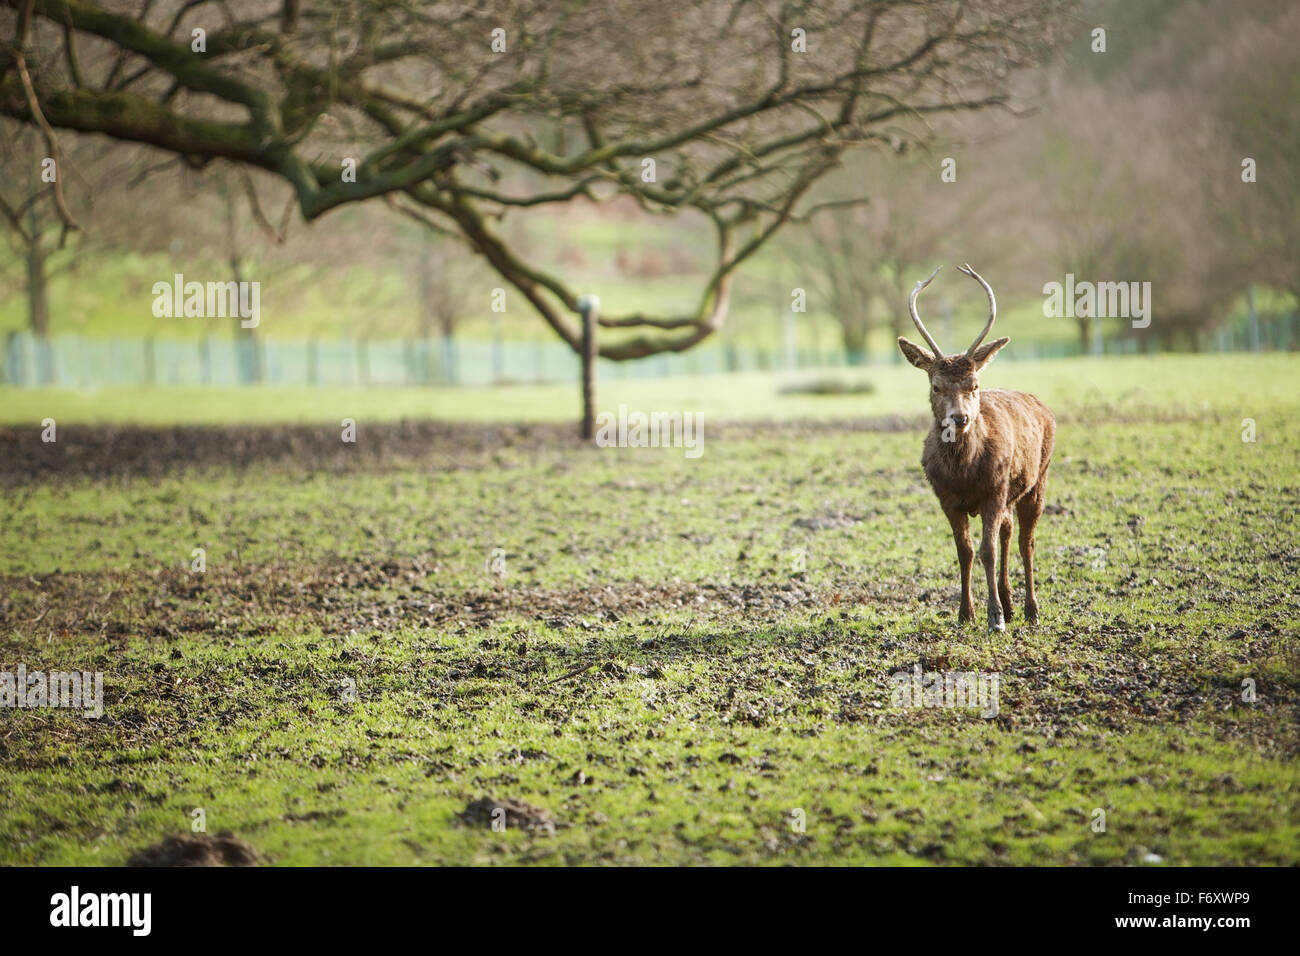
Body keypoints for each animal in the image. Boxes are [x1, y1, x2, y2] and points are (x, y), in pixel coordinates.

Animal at [897, 265, 1056, 633]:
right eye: (936, 385)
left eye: (975, 384)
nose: (960, 417)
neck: (963, 474)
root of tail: (1041, 405)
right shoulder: (945, 497)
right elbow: (965, 551)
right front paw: (965, 613)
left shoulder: (993, 492)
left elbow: (987, 551)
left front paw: (994, 618)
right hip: (1012, 492)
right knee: (1009, 532)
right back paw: (1010, 604)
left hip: (1038, 479)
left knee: (1026, 542)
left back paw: (1030, 610)